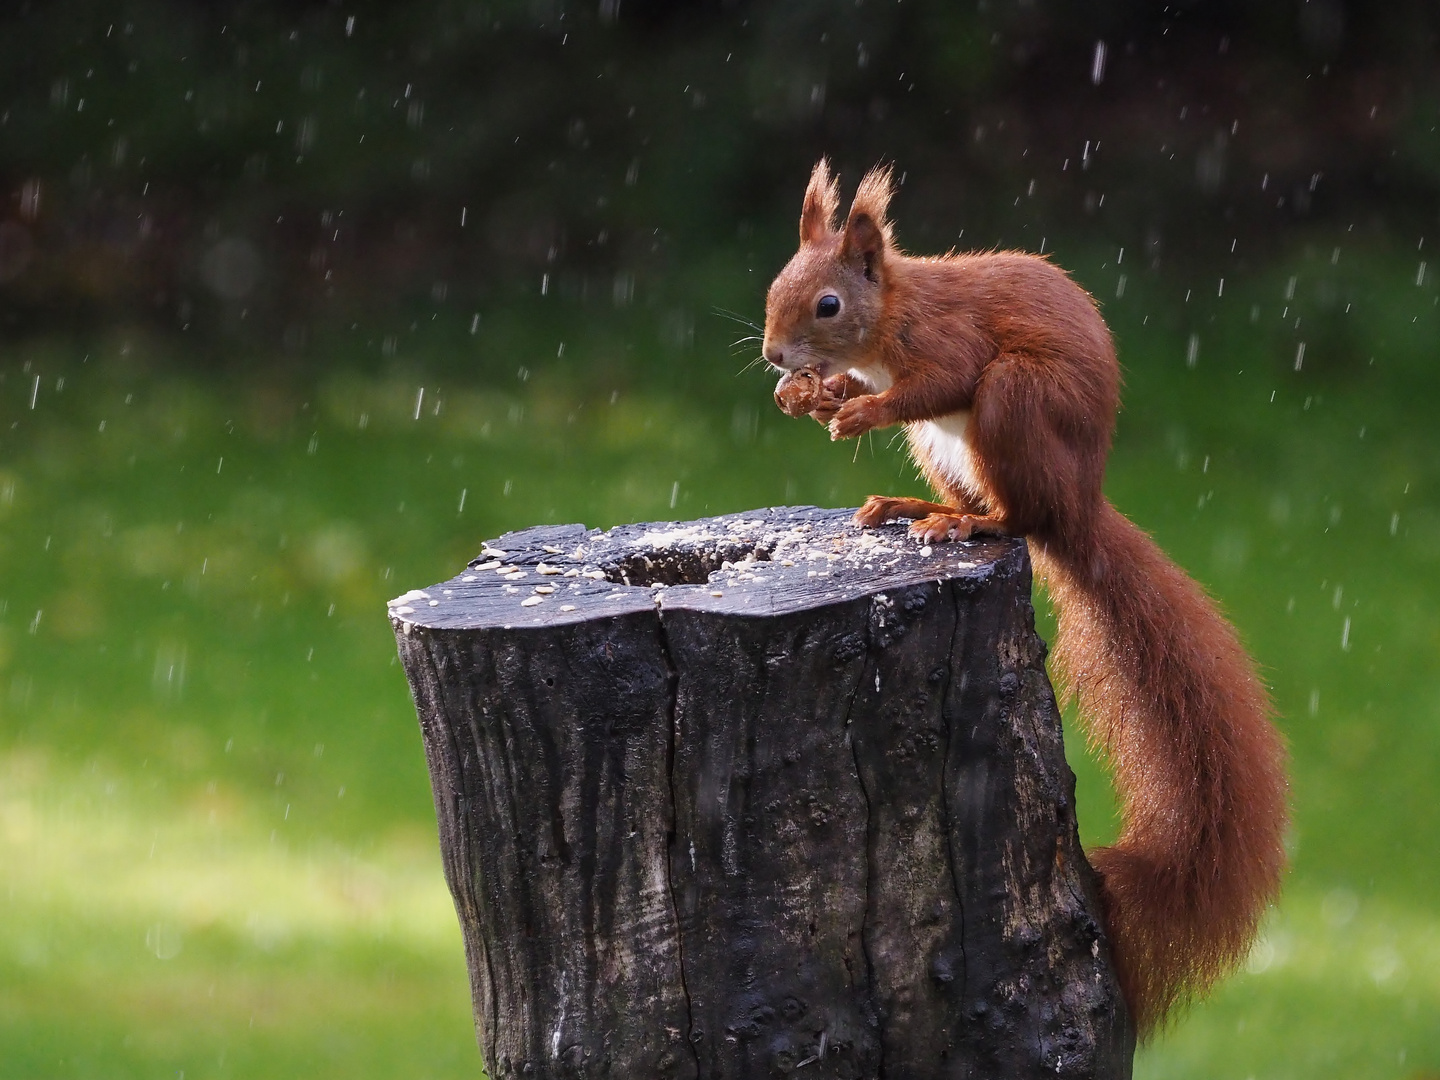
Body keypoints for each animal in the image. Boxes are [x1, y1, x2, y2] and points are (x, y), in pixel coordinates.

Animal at [760, 158, 1290, 1031]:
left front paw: (859, 407)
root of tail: (1079, 506)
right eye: (777, 285)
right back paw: (912, 506)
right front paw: (812, 395)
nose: (774, 356)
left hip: (1015, 400)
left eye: (828, 304)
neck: (893, 312)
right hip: (945, 449)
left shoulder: (947, 342)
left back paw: (964, 524)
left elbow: (934, 381)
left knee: (1016, 517)